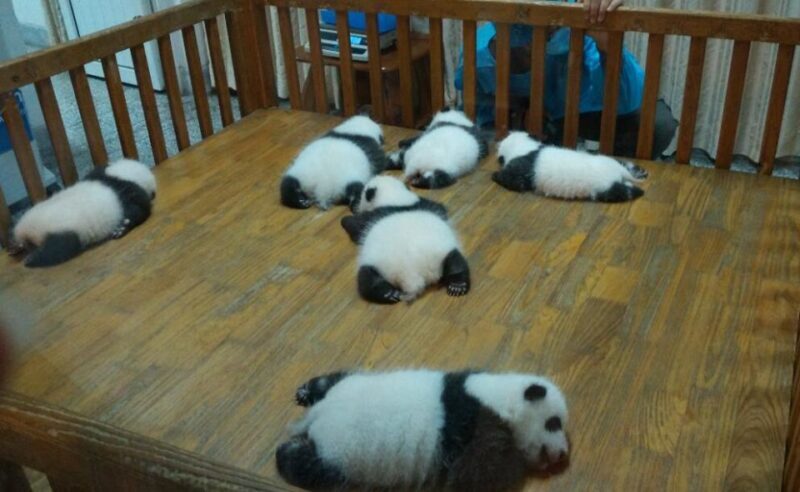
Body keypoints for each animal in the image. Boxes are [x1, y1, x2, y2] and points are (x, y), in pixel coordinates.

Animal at [276, 369, 570, 491]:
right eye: (554, 423)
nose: (564, 454)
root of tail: (318, 415)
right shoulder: (477, 430)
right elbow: (479, 476)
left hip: (349, 384)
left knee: (333, 378)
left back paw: (306, 391)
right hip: (339, 455)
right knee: (311, 467)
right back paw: (286, 451)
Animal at [340, 176, 469, 304]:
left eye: (363, 194)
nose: (358, 204)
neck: (396, 198)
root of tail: (411, 276)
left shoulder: (371, 217)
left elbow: (355, 225)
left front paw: (347, 217)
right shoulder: (426, 203)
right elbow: (441, 208)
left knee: (366, 281)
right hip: (440, 254)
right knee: (455, 261)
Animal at [493, 131, 648, 202]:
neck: (525, 147)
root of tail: (619, 172)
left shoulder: (519, 169)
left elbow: (512, 180)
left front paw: (495, 175)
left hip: (603, 187)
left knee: (623, 192)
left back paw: (637, 190)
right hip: (607, 160)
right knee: (624, 164)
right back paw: (640, 171)